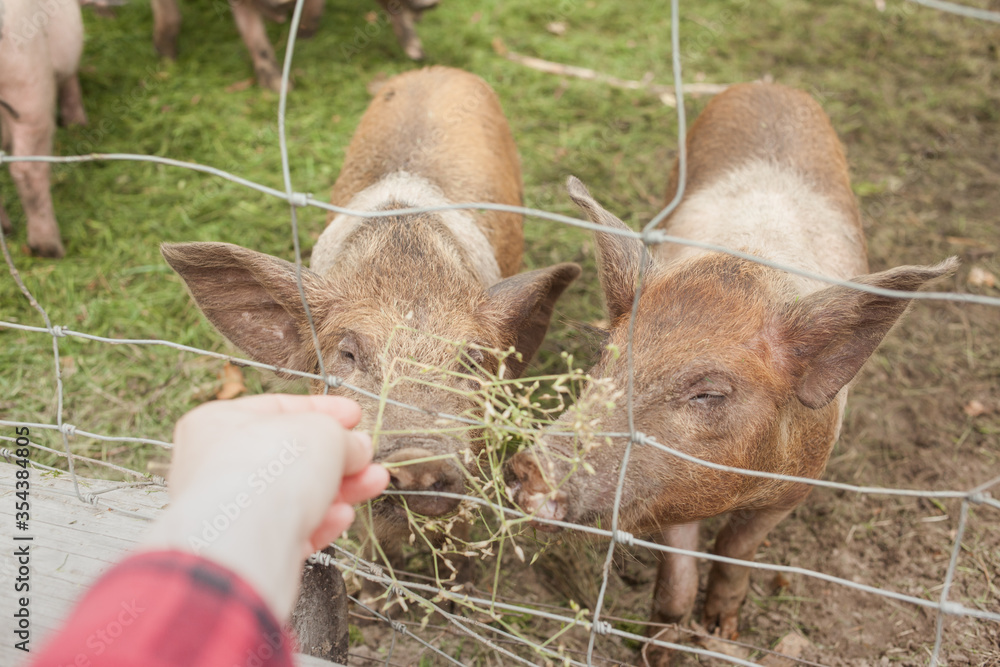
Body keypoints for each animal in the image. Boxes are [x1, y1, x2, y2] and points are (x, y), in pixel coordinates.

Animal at [161, 65, 579, 615]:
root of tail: (441, 70)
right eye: (349, 353)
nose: (417, 459)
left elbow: (461, 528)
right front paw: (376, 604)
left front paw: (459, 601)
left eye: (471, 362)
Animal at [507, 83, 956, 664]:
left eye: (710, 393)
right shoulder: (672, 492)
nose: (528, 466)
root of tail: (769, 84)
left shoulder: (795, 488)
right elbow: (678, 577)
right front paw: (660, 652)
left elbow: (736, 550)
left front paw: (722, 631)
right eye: (604, 355)